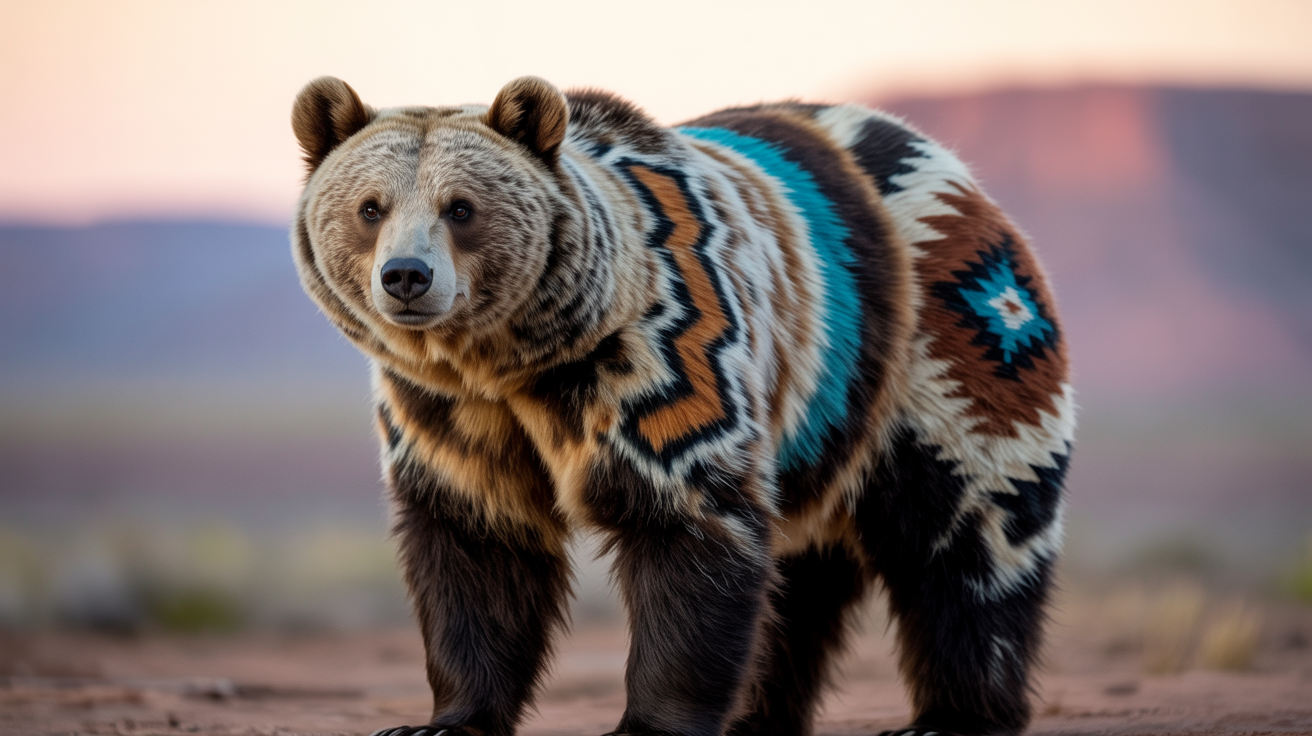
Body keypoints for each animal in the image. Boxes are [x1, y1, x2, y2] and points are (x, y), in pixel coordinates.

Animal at [290, 76, 1073, 736]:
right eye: (370, 207)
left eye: (461, 207)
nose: (406, 276)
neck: (519, 361)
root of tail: (951, 169)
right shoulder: (451, 414)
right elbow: (475, 545)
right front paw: (440, 720)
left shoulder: (664, 358)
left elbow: (688, 522)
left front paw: (651, 723)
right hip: (821, 427)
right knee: (800, 579)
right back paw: (763, 717)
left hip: (943, 351)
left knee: (969, 538)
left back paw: (953, 715)